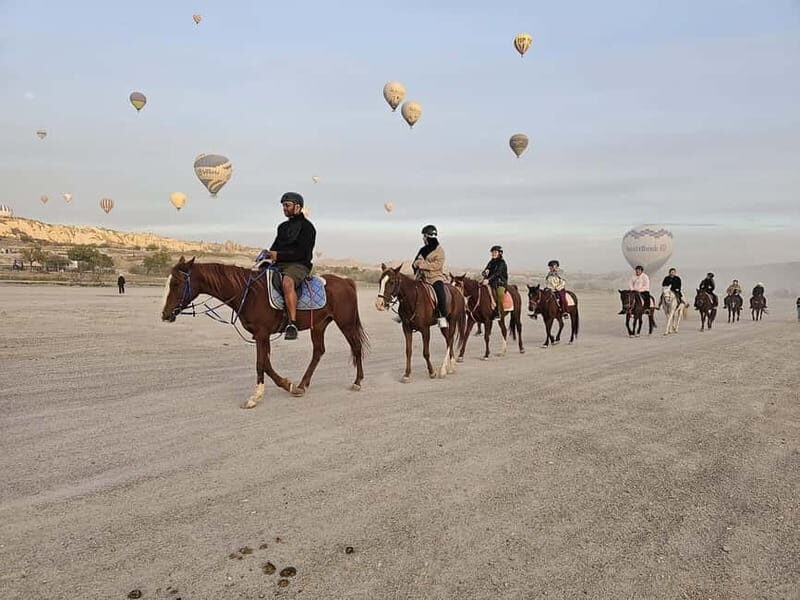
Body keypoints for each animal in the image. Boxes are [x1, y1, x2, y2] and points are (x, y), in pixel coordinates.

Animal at [160, 257, 367, 408]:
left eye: (176, 283)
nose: (165, 314)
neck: (249, 293)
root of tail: (347, 282)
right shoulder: (260, 335)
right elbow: (266, 363)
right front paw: (288, 385)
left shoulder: (262, 333)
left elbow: (260, 364)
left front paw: (256, 396)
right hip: (318, 325)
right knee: (318, 351)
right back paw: (302, 385)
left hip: (346, 324)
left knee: (356, 347)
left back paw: (358, 382)